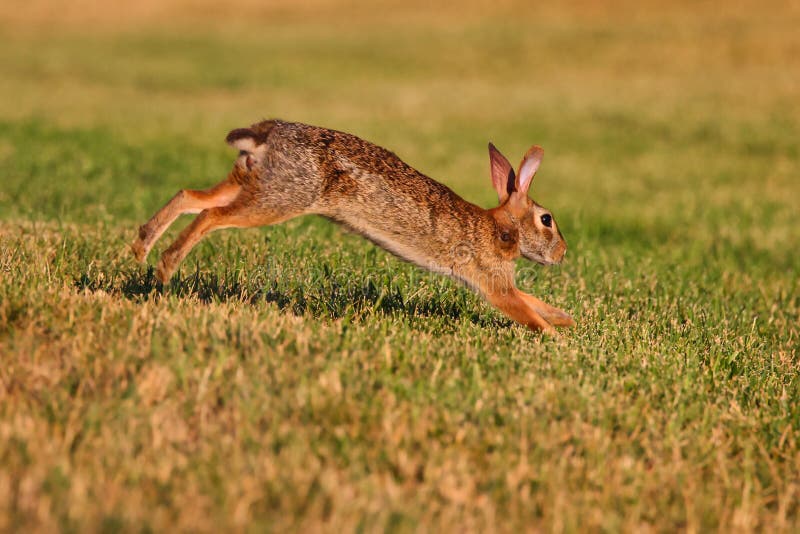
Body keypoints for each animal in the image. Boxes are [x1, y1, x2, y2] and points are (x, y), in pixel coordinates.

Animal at [131, 119, 575, 334]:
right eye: (547, 220)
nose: (563, 253)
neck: (502, 229)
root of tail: (265, 134)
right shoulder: (493, 284)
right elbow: (522, 309)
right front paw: (554, 337)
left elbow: (533, 301)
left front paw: (565, 320)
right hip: (280, 199)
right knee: (211, 216)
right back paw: (165, 268)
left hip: (255, 183)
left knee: (191, 196)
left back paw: (141, 249)